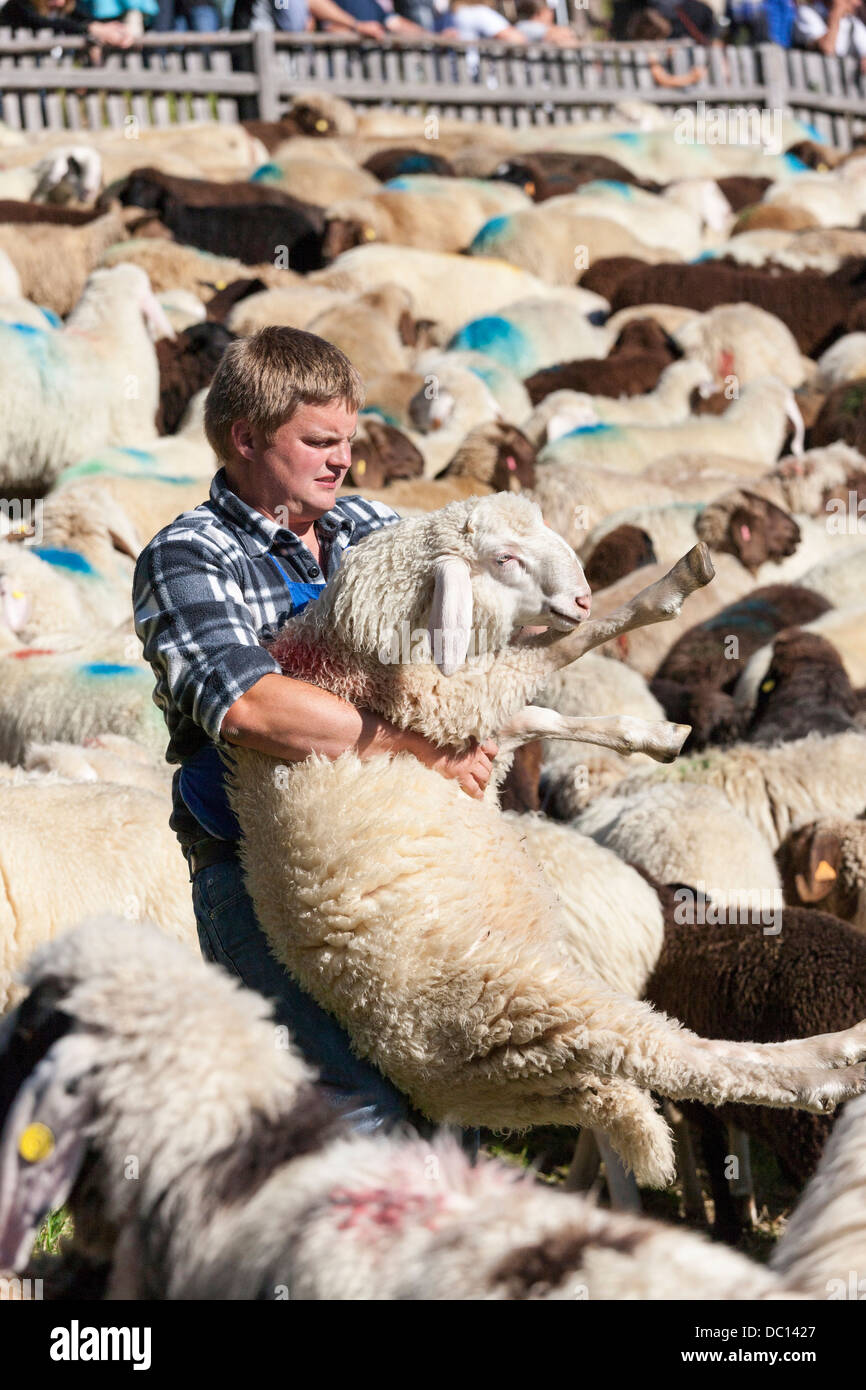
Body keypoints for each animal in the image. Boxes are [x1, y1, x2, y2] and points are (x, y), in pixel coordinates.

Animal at [7, 917, 866, 1301]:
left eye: (32, 1022)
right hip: (527, 1048)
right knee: (669, 1070)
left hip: (530, 1018)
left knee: (690, 1060)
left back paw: (838, 1060)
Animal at [224, 495, 866, 1187]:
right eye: (504, 558)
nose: (580, 596)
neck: (341, 657)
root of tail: (430, 1072)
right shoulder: (446, 702)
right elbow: (559, 649)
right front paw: (668, 590)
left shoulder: (466, 735)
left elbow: (541, 707)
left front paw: (651, 735)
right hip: (539, 1002)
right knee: (691, 1061)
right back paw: (830, 1072)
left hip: (537, 1066)